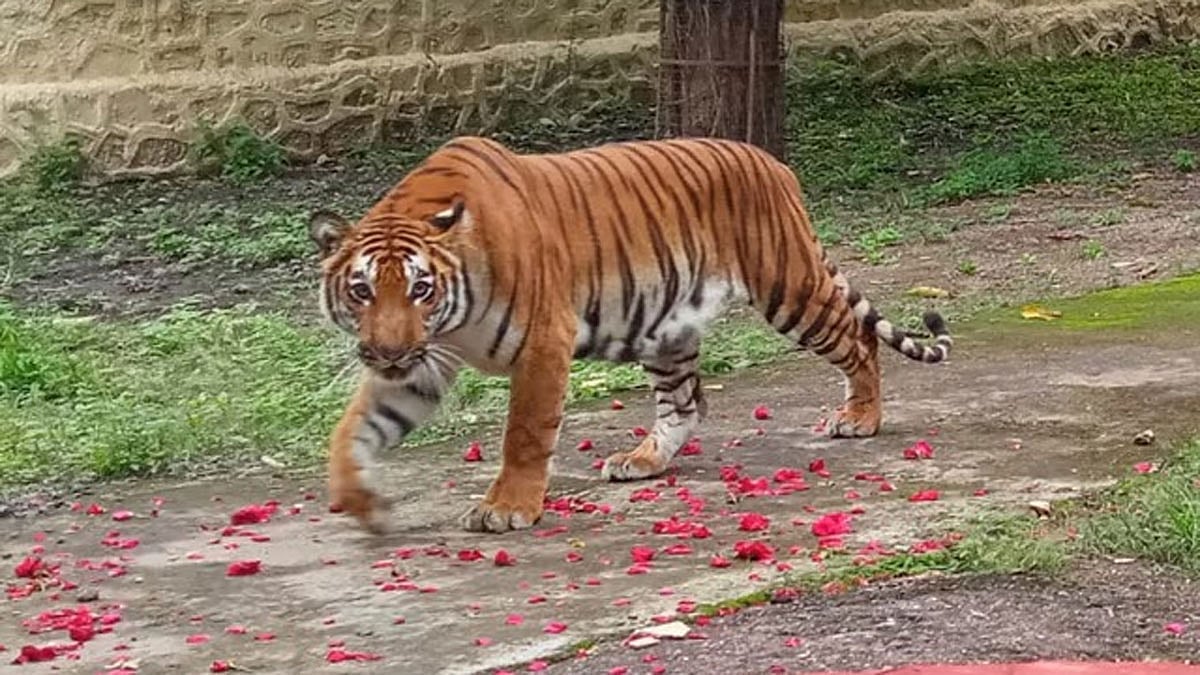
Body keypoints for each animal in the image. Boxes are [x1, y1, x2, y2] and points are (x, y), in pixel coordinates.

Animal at [308, 135, 952, 535]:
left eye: (421, 288)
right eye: (362, 291)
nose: (387, 350)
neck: (450, 316)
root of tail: (773, 164)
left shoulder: (543, 340)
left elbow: (524, 434)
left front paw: (508, 509)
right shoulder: (422, 361)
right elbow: (353, 428)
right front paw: (360, 501)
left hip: (789, 289)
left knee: (856, 340)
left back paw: (861, 418)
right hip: (668, 327)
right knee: (686, 403)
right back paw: (643, 459)